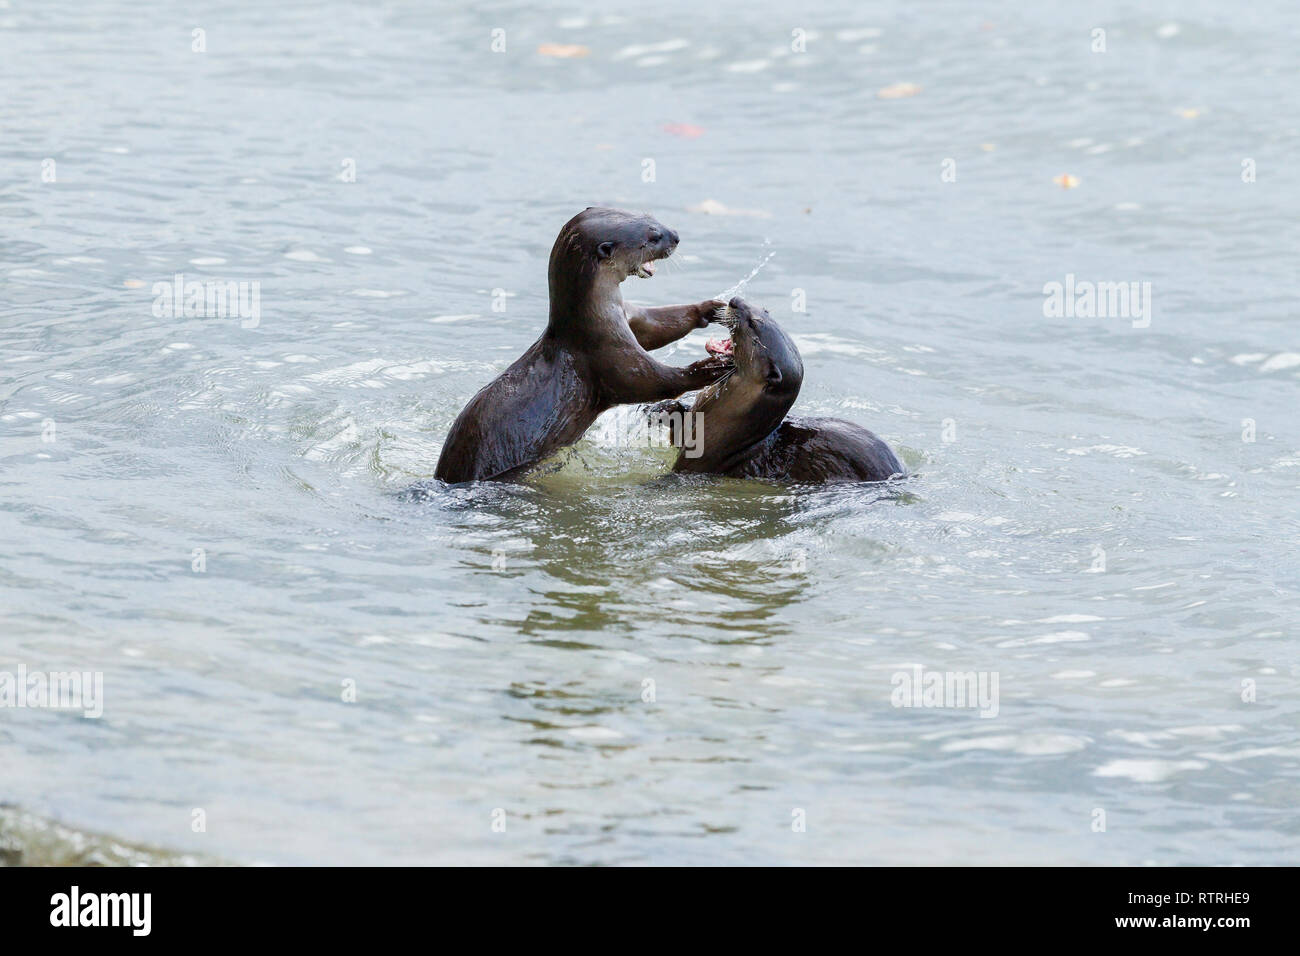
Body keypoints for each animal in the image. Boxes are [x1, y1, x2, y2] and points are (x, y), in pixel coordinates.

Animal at [433, 208, 730, 483]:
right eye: (653, 236)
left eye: (652, 216)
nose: (677, 236)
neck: (594, 320)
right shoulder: (608, 353)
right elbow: (649, 381)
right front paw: (707, 368)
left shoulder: (628, 317)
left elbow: (656, 324)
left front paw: (709, 309)